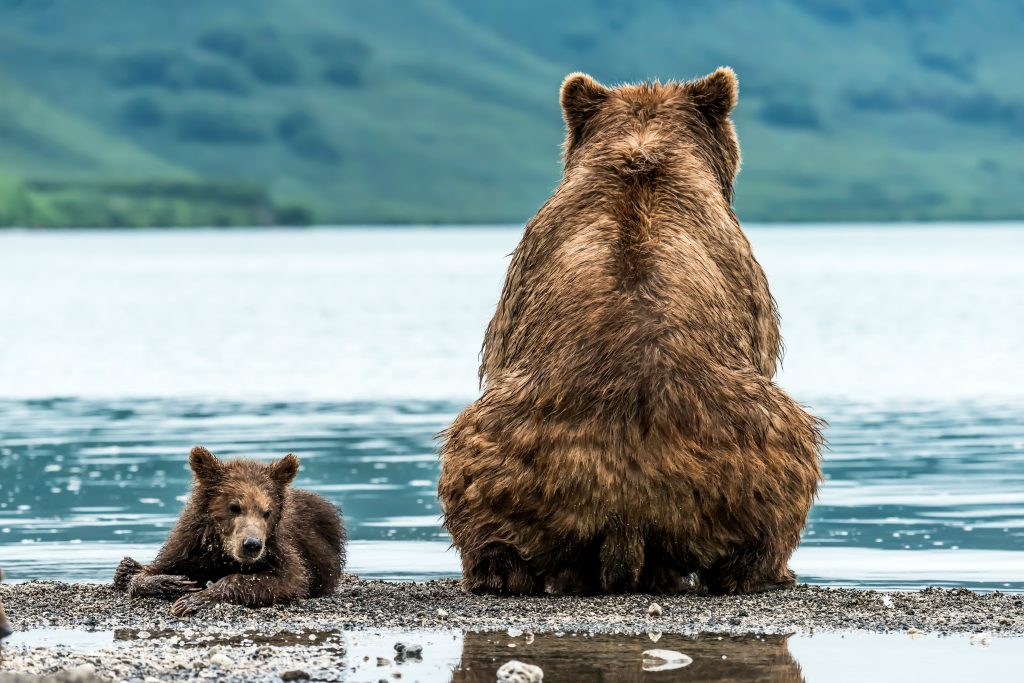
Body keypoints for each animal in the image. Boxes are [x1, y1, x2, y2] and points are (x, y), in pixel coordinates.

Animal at [114, 446, 345, 616]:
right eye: (234, 506)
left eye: (267, 511)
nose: (251, 545)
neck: (222, 551)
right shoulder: (189, 544)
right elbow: (148, 574)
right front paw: (174, 583)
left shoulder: (280, 550)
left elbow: (287, 580)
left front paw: (194, 599)